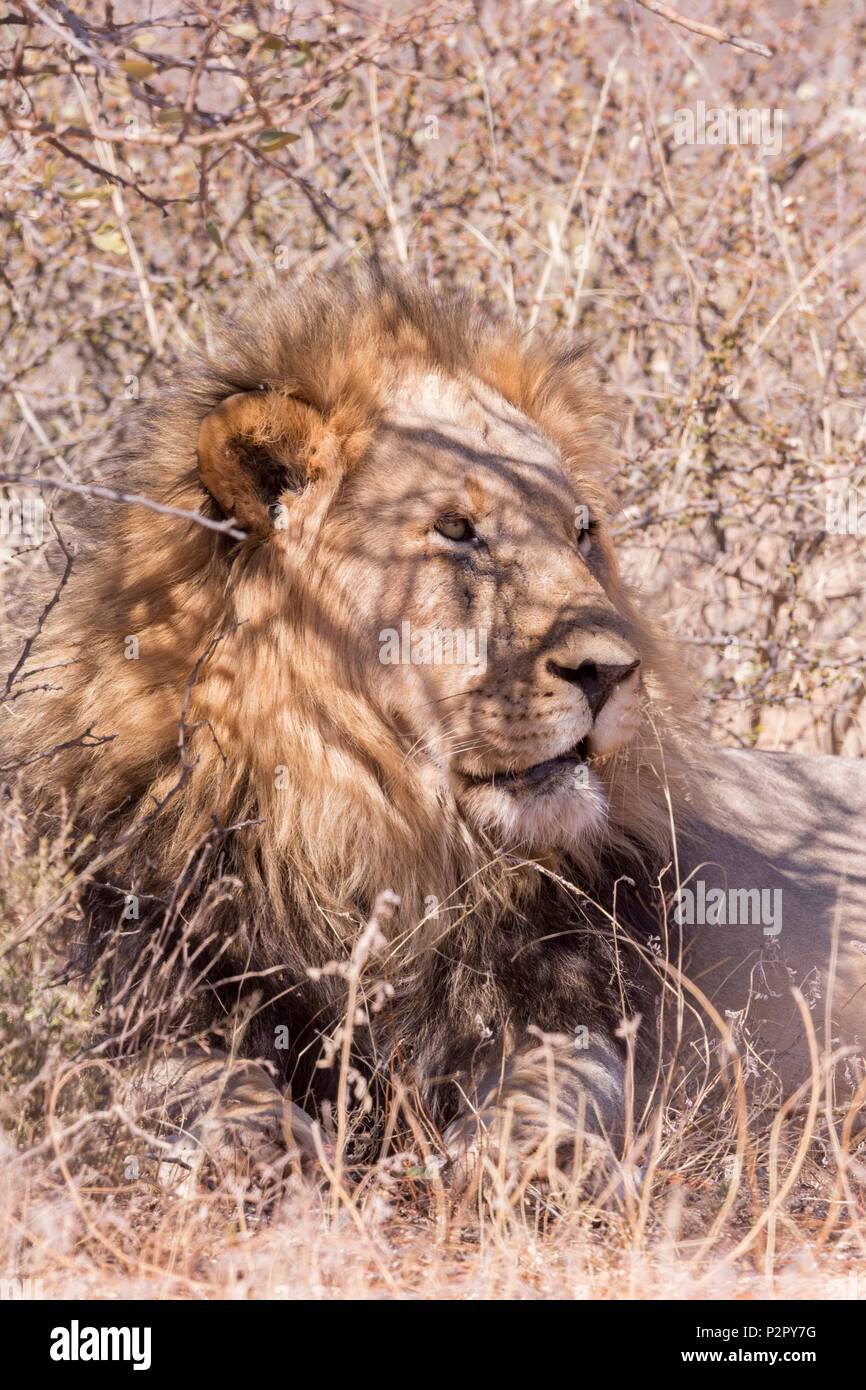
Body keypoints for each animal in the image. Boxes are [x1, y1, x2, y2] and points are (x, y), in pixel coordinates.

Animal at [5, 265, 865, 1196]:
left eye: (583, 534)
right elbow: (186, 1077)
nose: (613, 672)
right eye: (458, 531)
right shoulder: (146, 970)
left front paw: (539, 1164)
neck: (369, 826)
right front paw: (253, 1149)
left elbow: (565, 1082)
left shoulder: (568, 991)